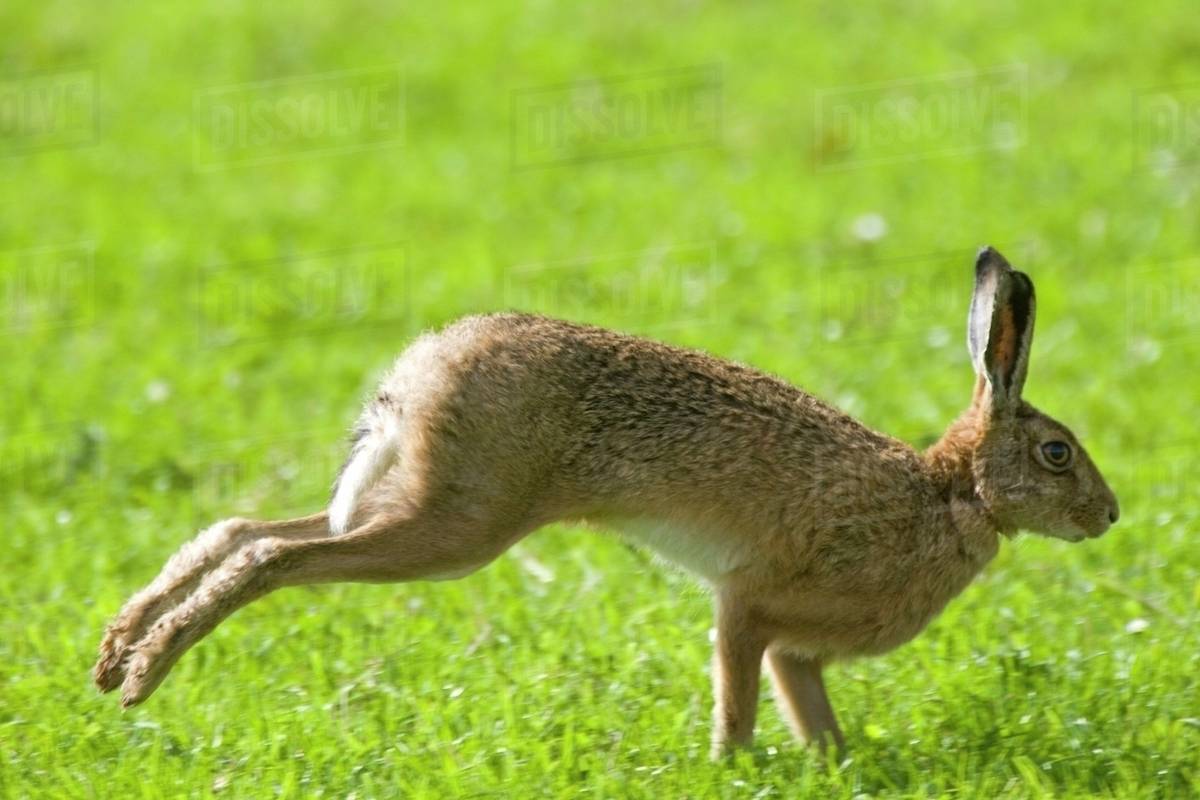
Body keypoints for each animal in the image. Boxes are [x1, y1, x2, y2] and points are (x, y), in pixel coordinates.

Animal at [94, 246, 1118, 758]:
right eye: (1057, 453)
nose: (1108, 516)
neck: (952, 495)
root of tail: (419, 373)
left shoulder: (799, 650)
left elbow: (809, 712)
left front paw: (831, 766)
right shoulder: (750, 608)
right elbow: (739, 692)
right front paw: (729, 767)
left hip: (412, 500)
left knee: (244, 527)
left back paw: (117, 655)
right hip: (461, 526)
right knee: (278, 557)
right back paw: (147, 673)